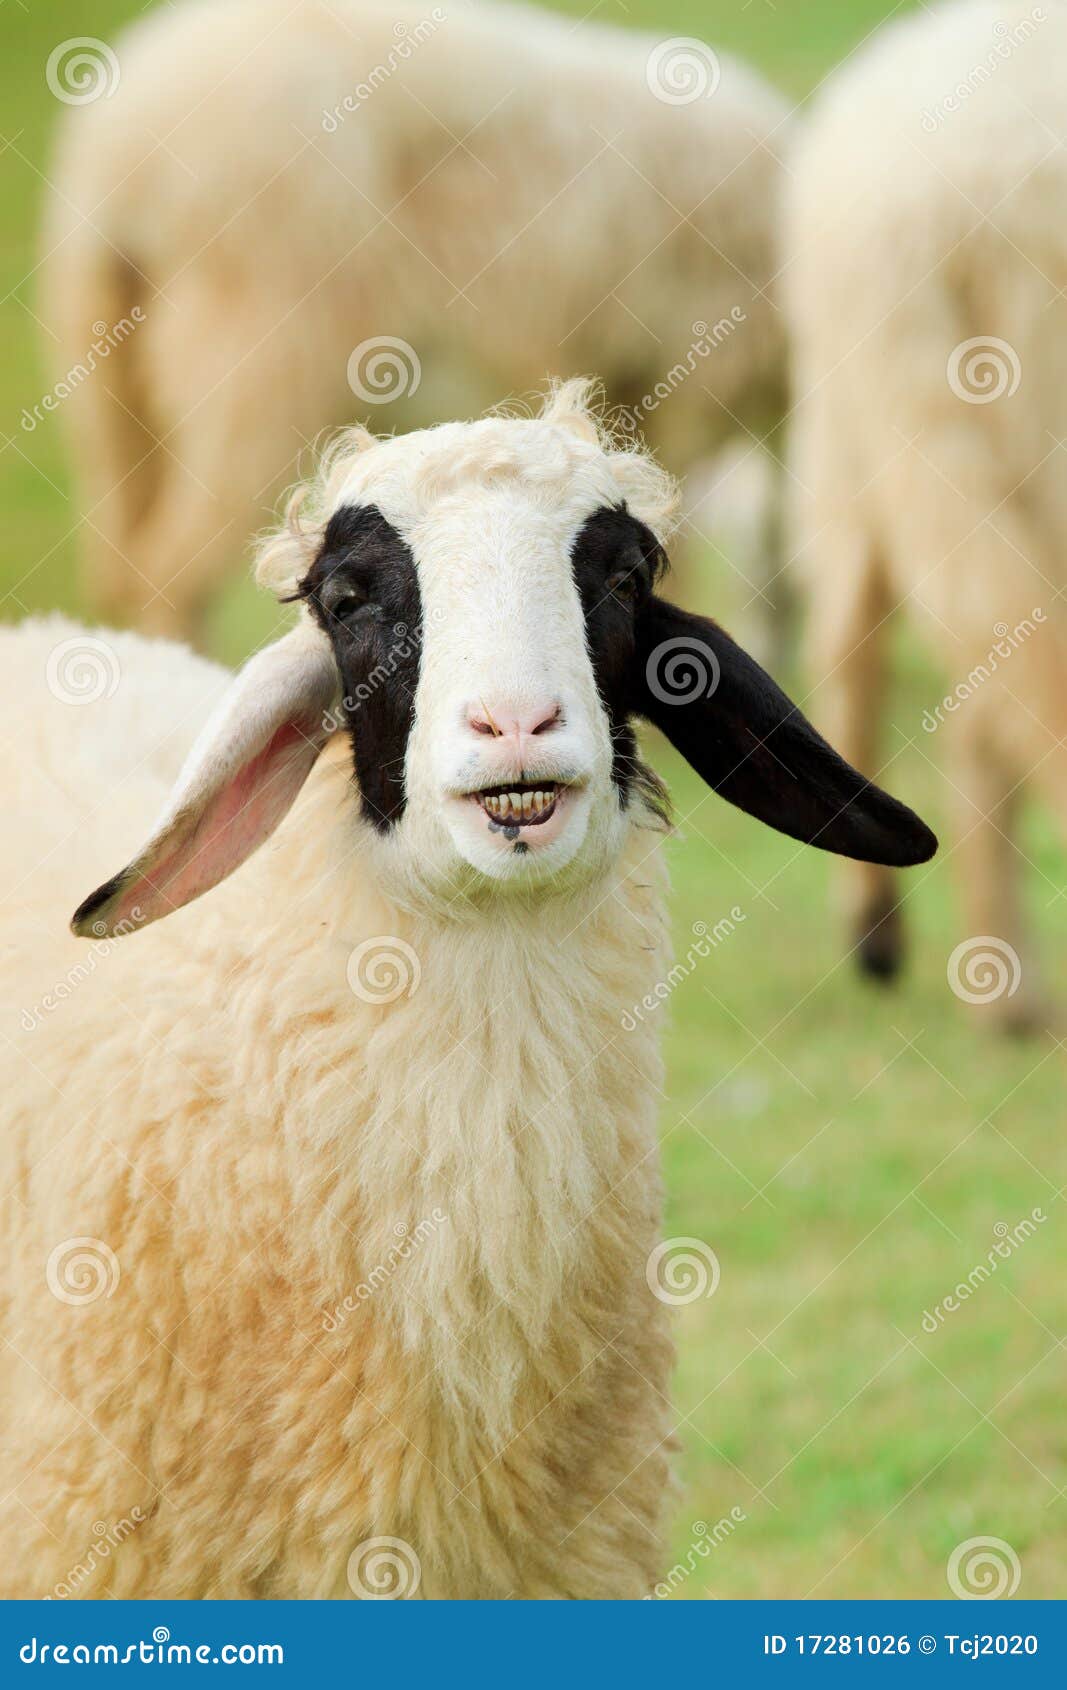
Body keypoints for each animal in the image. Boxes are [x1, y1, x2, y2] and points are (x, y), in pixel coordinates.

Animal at [41, 0, 789, 645]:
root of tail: (122, 156)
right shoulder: (685, 388)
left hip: (103, 361)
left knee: (120, 563)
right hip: (257, 351)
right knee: (170, 572)